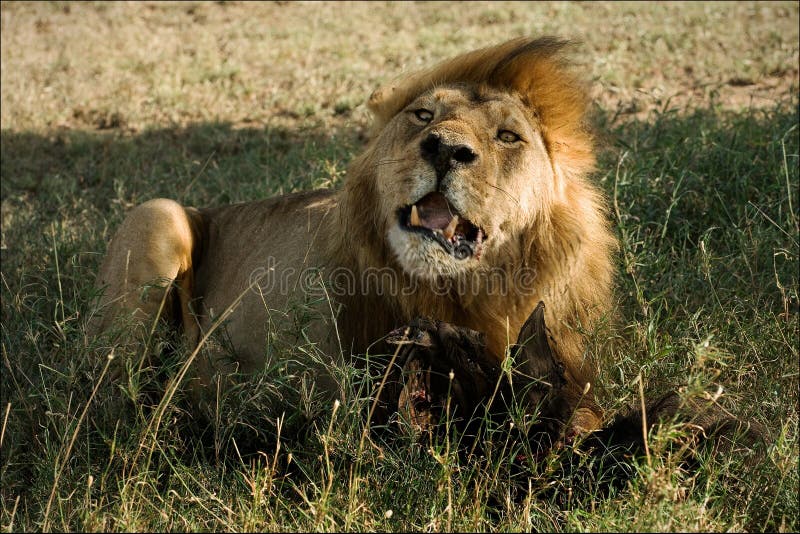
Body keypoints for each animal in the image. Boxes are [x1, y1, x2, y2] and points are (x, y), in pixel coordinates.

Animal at [89, 37, 617, 434]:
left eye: (508, 137)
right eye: (423, 116)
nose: (445, 148)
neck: (461, 293)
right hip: (156, 215)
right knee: (112, 398)